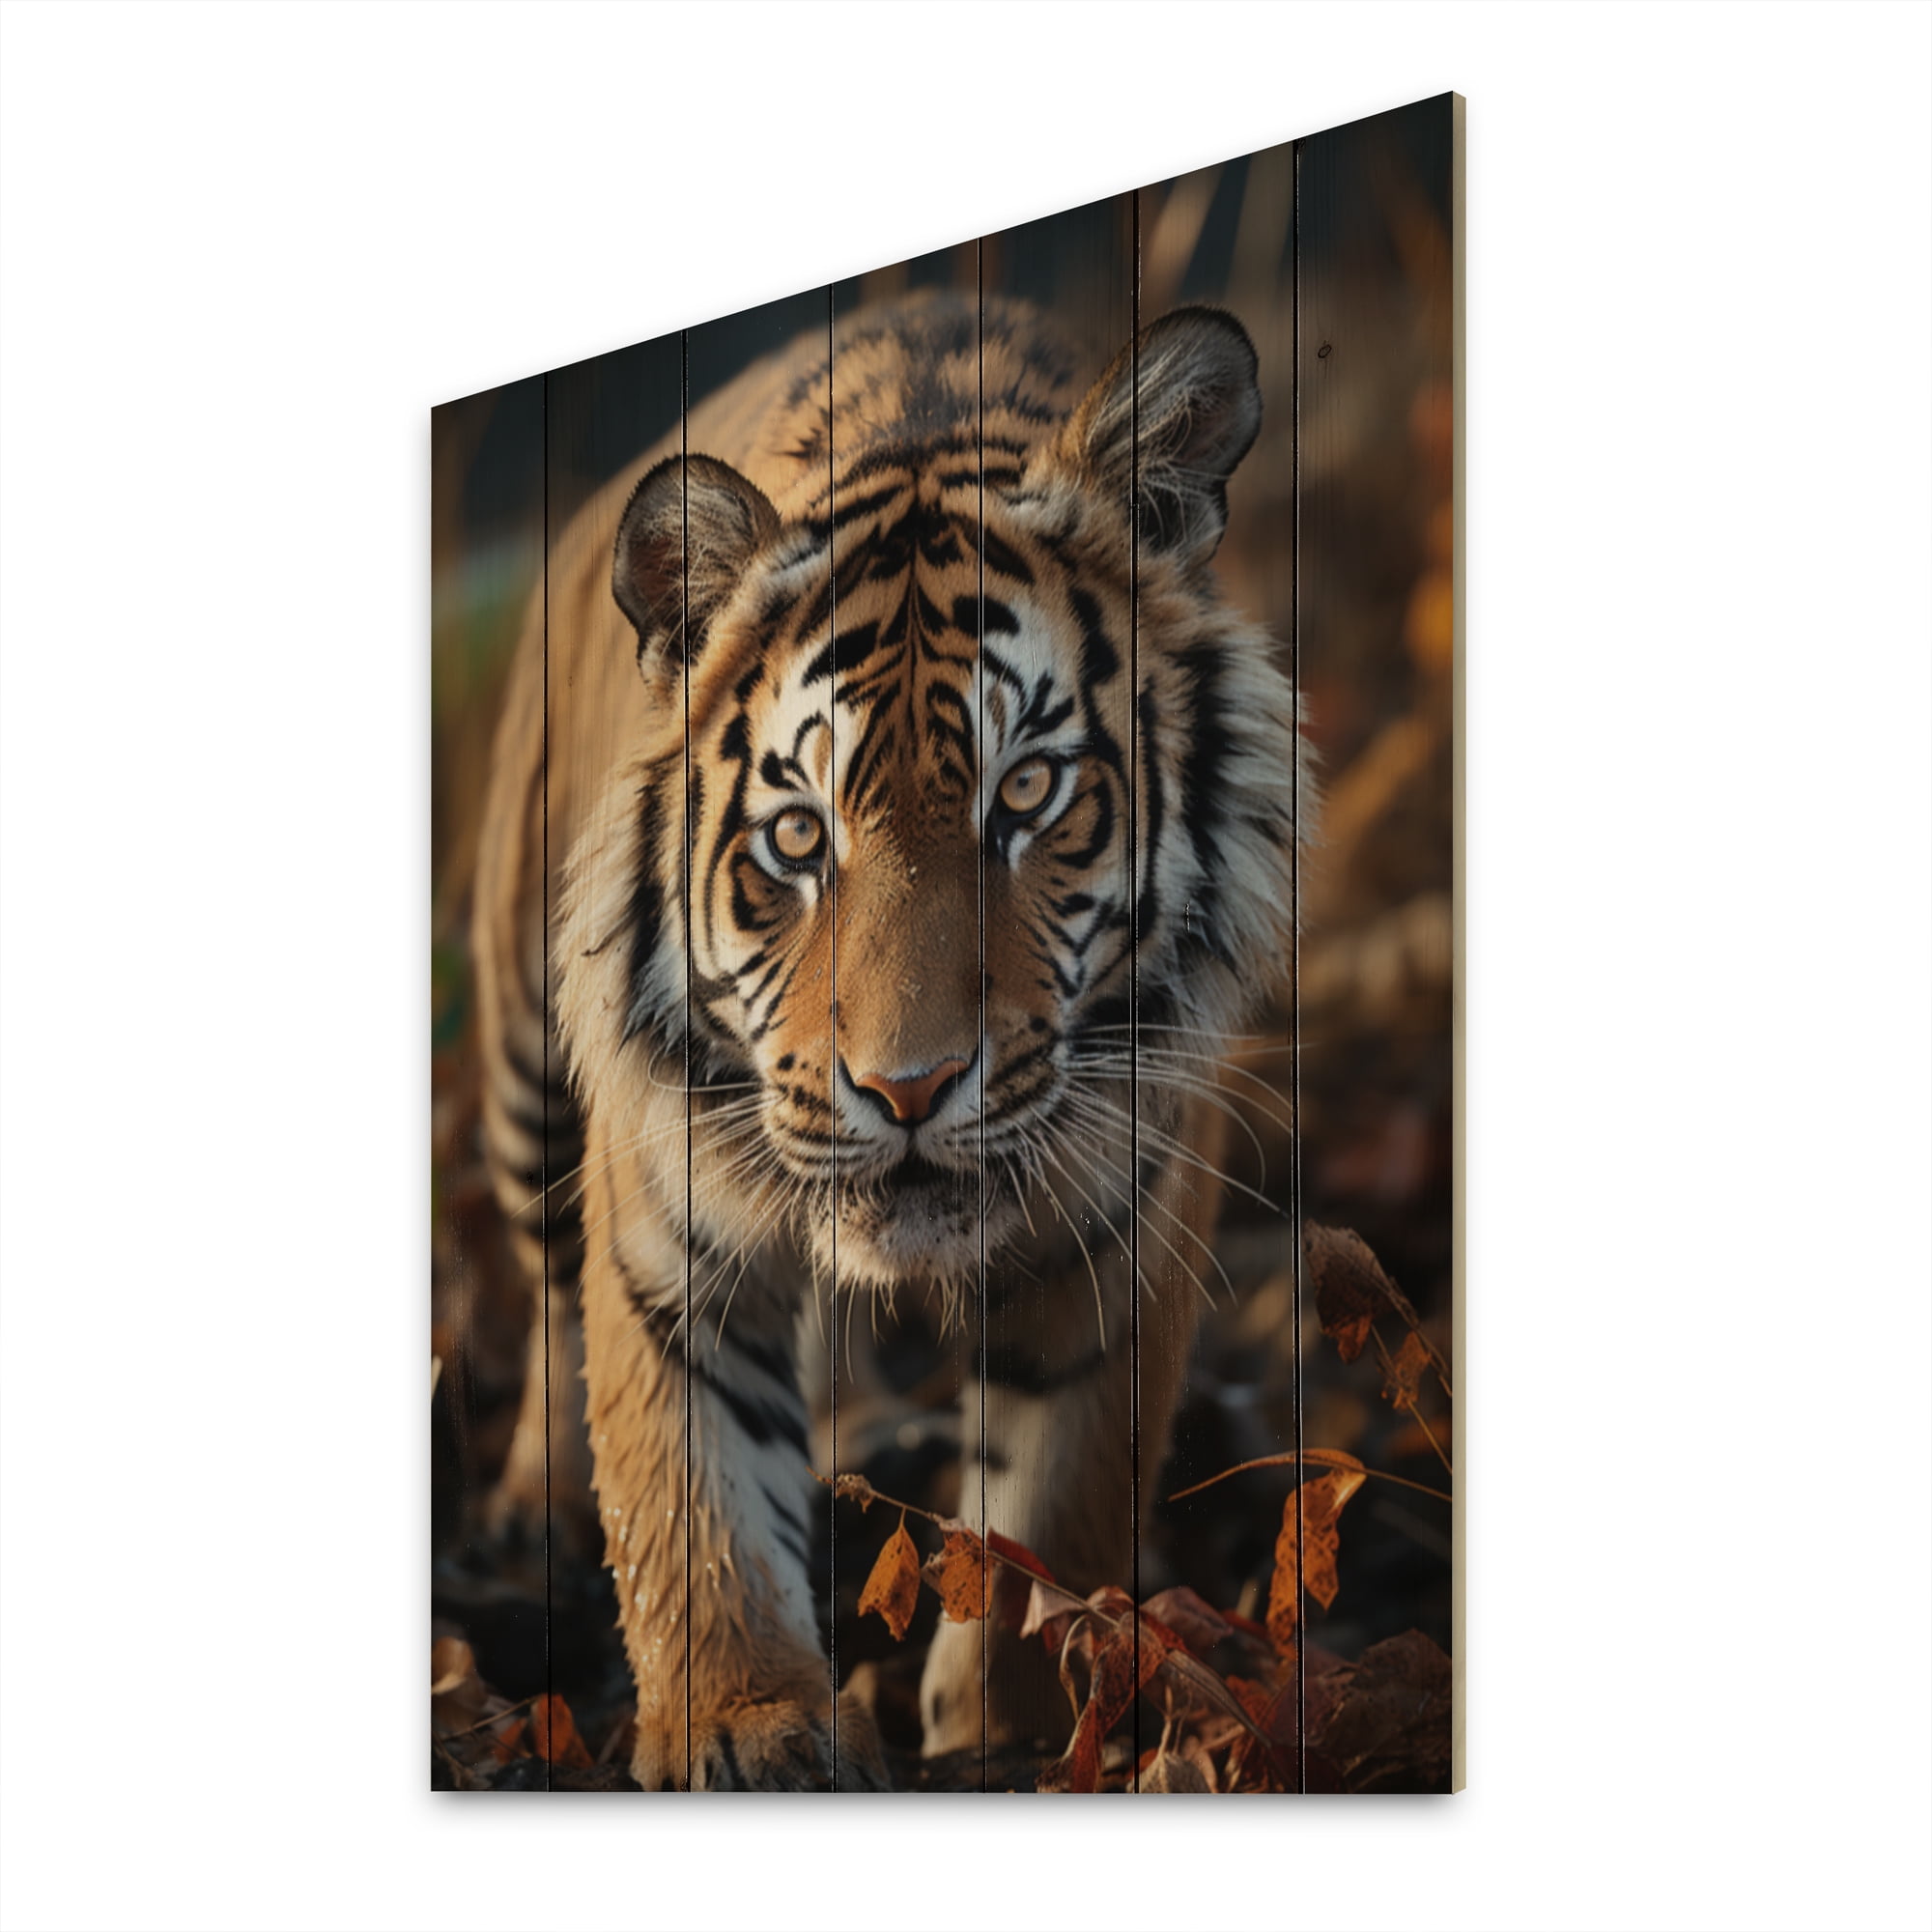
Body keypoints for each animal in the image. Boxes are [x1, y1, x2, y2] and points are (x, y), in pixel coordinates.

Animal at [471, 291, 1310, 1789]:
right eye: (799, 836)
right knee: (547, 1276)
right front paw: (741, 1731)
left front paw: (1012, 1735)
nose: (906, 1091)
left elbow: (1053, 1513)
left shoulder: (1118, 1249)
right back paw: (530, 1506)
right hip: (524, 1070)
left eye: (1026, 794)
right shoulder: (668, 1241)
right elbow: (695, 1513)